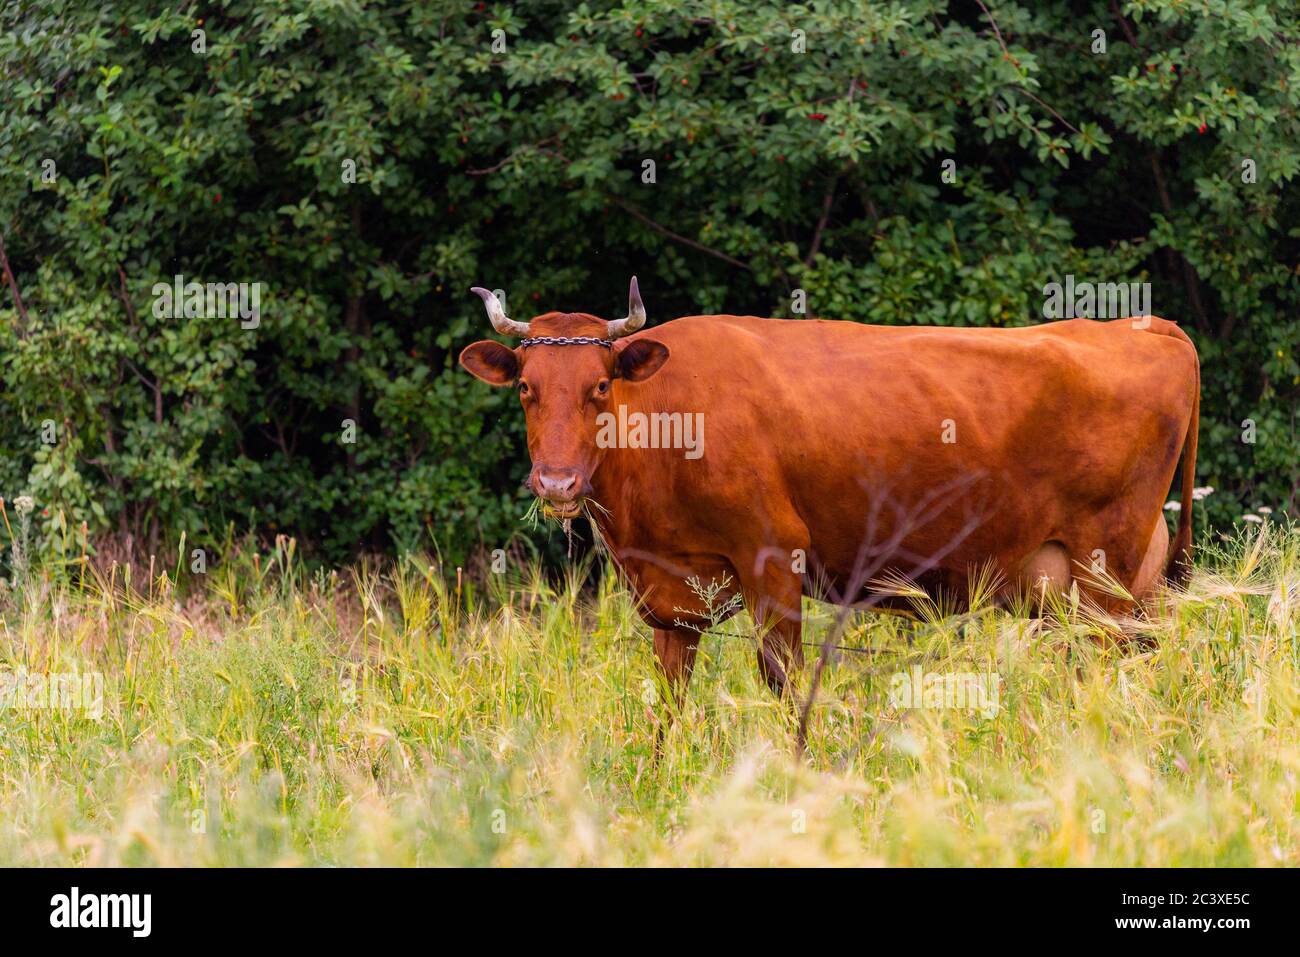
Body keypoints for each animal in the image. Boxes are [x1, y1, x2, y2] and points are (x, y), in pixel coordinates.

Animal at [460, 278, 1200, 707]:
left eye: (599, 386)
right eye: (526, 388)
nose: (557, 482)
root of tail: (1145, 326)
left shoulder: (773, 558)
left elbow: (783, 681)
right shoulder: (669, 596)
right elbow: (667, 697)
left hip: (1106, 571)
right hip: (1113, 582)